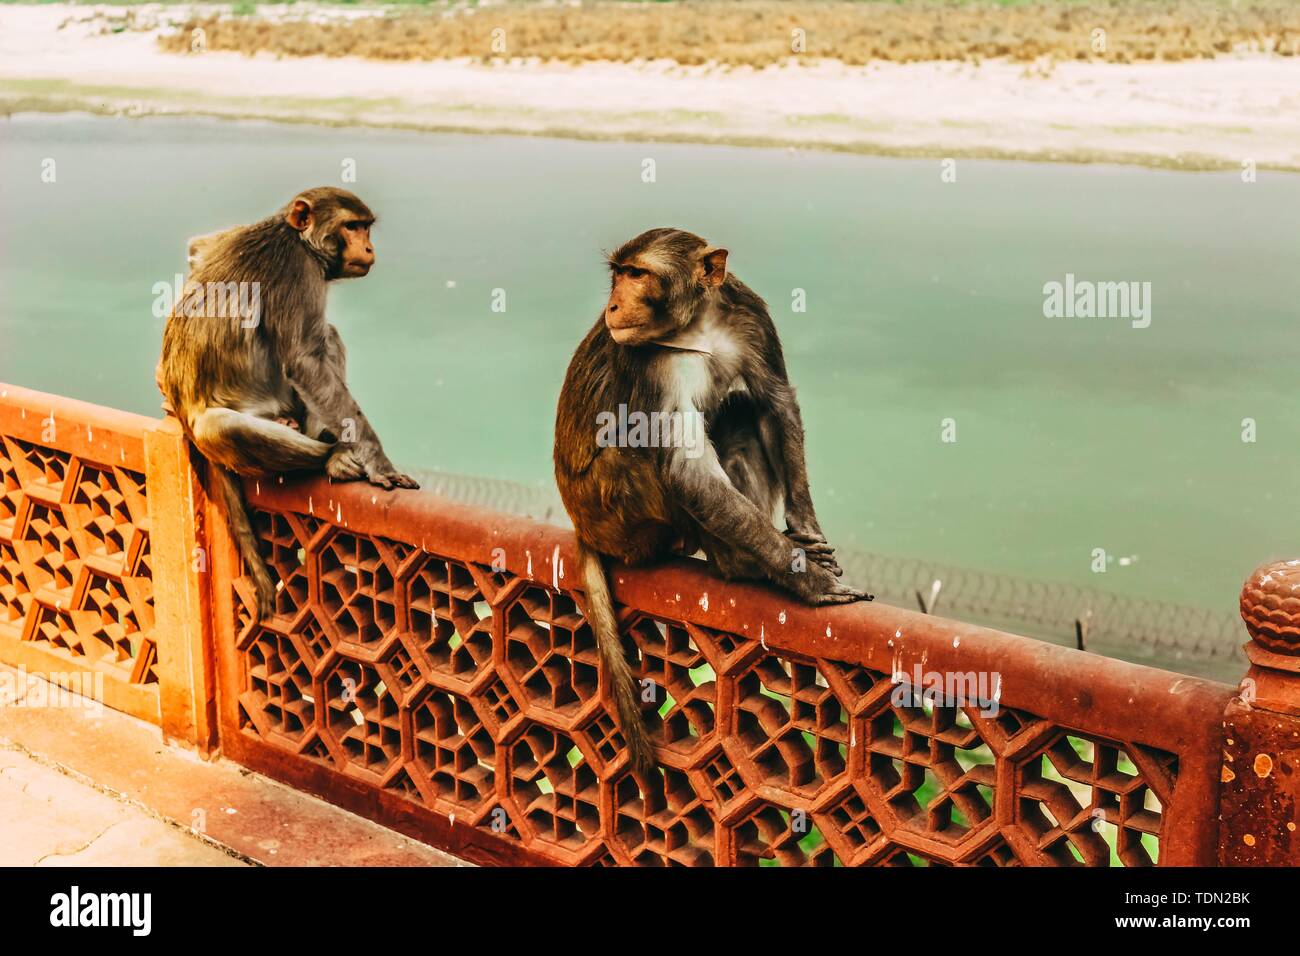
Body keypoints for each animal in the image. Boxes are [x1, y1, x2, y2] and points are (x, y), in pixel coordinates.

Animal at [157, 186, 418, 621]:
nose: (368, 247)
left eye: (365, 227)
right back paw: (333, 454)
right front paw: (378, 462)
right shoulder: (298, 272)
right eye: (353, 226)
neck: (297, 238)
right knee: (225, 424)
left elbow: (199, 250)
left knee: (328, 335)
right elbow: (303, 361)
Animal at [554, 227, 871, 772]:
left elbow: (775, 400)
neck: (696, 326)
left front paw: (807, 536)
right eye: (620, 274)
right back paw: (737, 563)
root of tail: (582, 525)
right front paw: (807, 577)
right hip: (617, 511)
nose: (613, 304)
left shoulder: (750, 315)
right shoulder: (646, 360)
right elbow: (686, 469)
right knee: (643, 447)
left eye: (636, 273)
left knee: (743, 406)